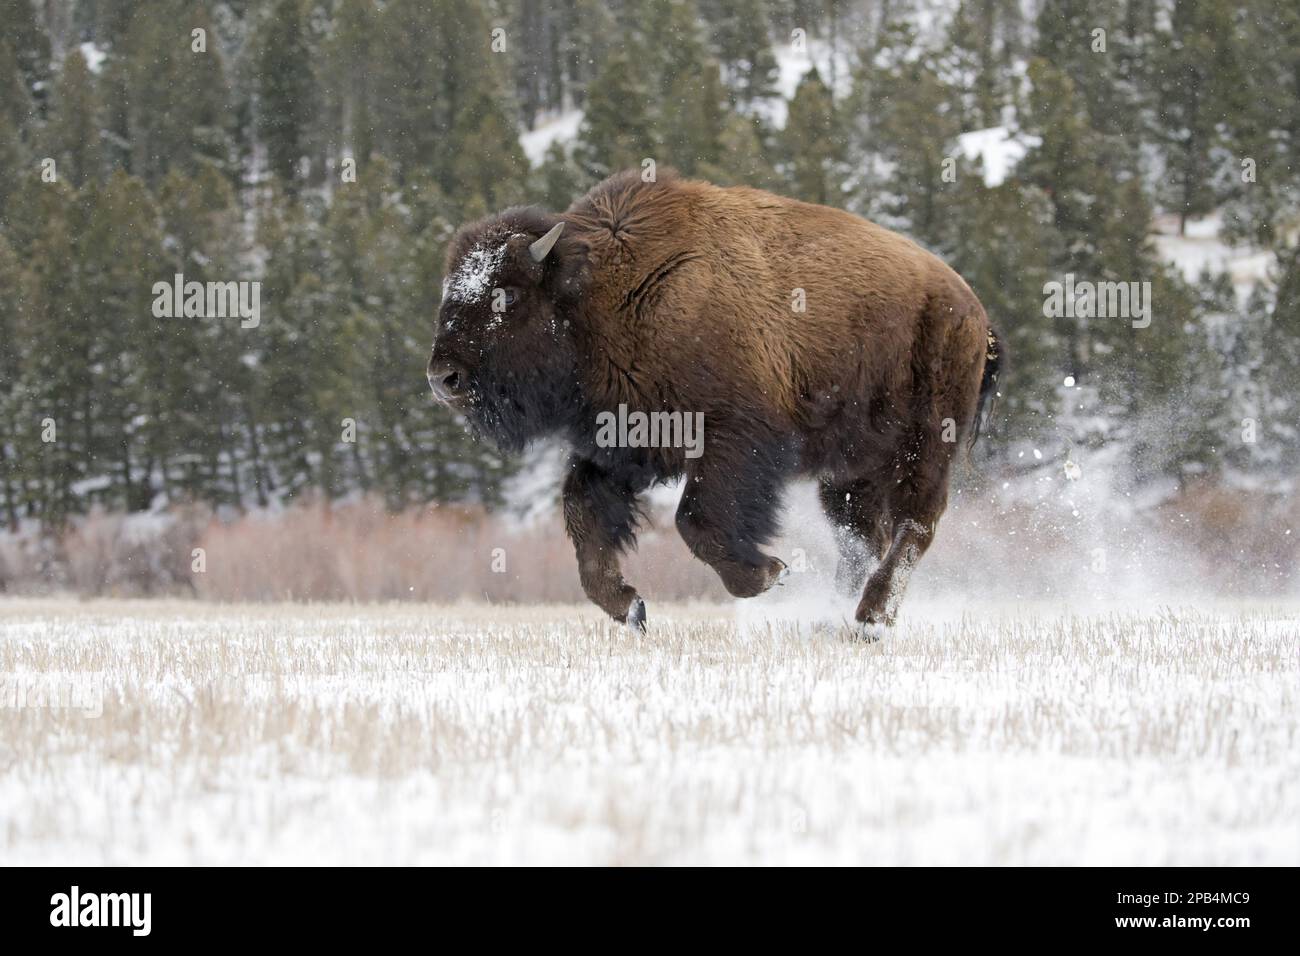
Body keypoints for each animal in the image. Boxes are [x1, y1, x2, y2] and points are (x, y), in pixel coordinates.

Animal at [427, 170, 1001, 633]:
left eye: (509, 294)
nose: (443, 377)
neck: (602, 292)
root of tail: (970, 306)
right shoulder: (617, 444)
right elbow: (584, 518)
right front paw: (630, 608)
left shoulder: (731, 439)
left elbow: (694, 521)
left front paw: (768, 574)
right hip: (850, 470)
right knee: (861, 538)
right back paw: (833, 618)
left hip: (925, 446)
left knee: (914, 524)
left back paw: (871, 619)